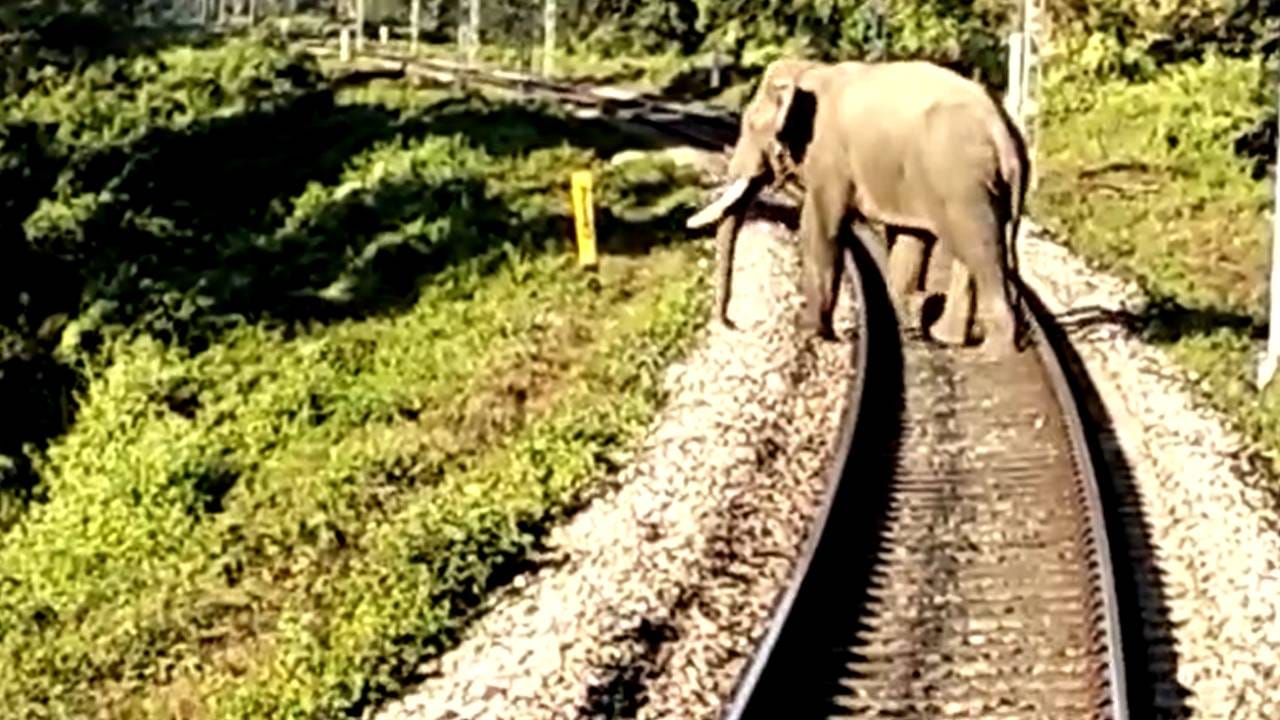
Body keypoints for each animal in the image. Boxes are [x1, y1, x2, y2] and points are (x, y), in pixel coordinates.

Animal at [685, 58, 1029, 357]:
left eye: (752, 126)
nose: (731, 324)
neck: (810, 70)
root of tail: (1003, 131)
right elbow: (908, 239)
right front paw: (904, 325)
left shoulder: (827, 157)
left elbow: (820, 228)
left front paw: (810, 331)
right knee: (974, 252)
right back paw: (947, 336)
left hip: (961, 182)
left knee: (980, 250)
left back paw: (995, 351)